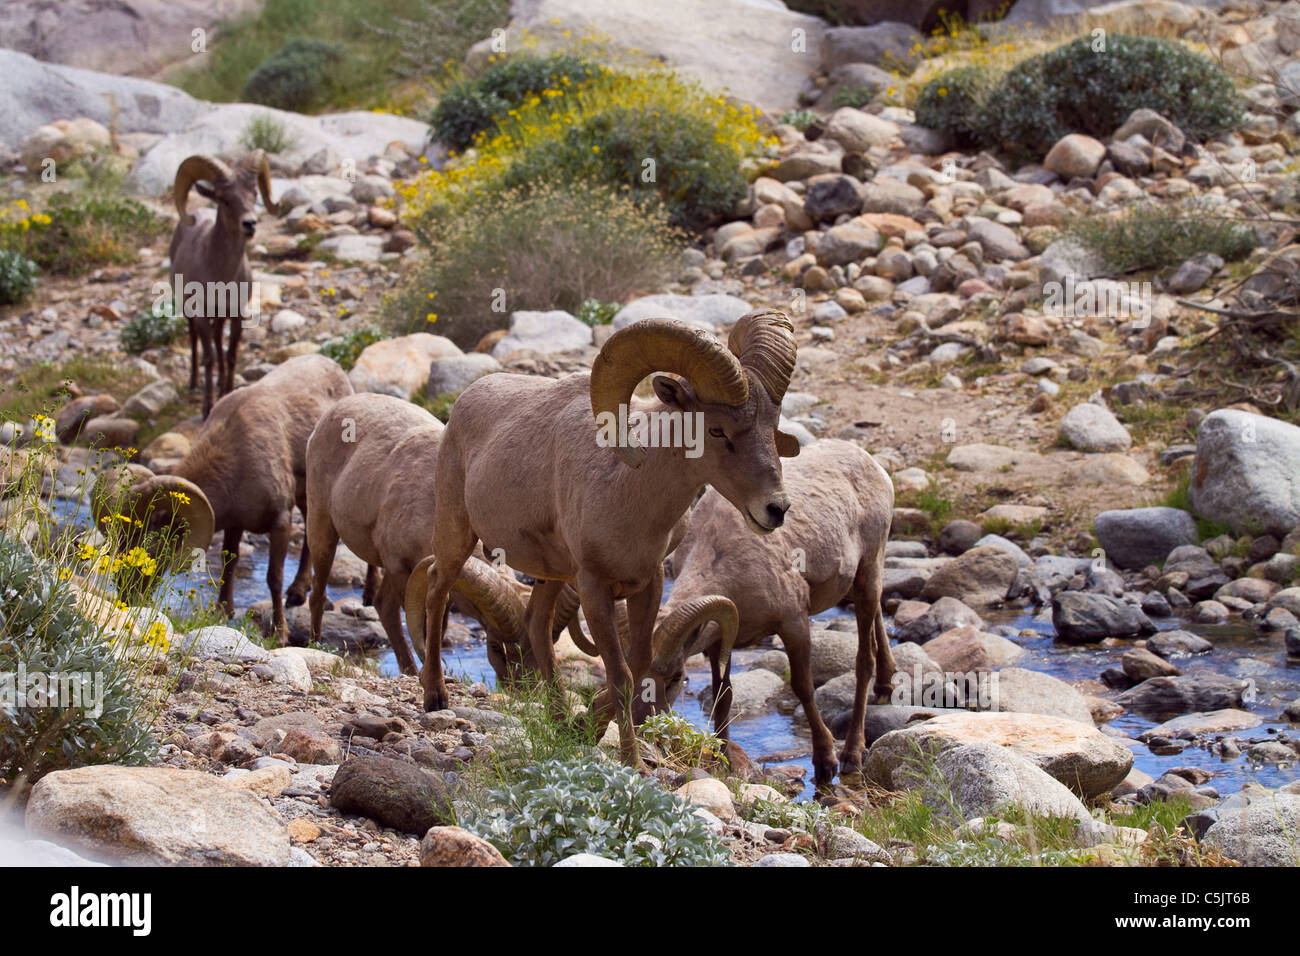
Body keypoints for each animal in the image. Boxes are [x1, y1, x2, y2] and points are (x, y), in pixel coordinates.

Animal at [92, 354, 353, 641]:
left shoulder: (280, 521)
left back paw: (301, 593)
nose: (127, 597)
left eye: (151, 549)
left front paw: (280, 633)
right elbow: (230, 563)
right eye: (119, 547)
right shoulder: (235, 524)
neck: (236, 459)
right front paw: (223, 611)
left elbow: (274, 578)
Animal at [169, 151, 276, 418]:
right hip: (189, 313)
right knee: (194, 340)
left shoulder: (237, 314)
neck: (221, 277)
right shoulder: (200, 314)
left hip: (219, 317)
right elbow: (208, 358)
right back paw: (194, 384)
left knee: (219, 339)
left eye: (254, 194)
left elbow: (230, 355)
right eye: (225, 200)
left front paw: (226, 394)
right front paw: (207, 407)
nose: (250, 224)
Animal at [417, 312, 800, 764]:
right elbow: (620, 674)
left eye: (771, 427)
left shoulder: (648, 583)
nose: (776, 508)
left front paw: (588, 726)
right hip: (456, 533)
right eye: (718, 431)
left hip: (551, 575)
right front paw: (630, 762)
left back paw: (560, 720)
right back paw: (435, 697)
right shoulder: (593, 588)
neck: (630, 494)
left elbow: (639, 662)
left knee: (536, 625)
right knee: (437, 592)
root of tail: (465, 400)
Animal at [639, 438, 896, 785]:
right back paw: (886, 686)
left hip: (869, 569)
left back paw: (852, 756)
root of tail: (874, 465)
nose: (642, 726)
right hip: (859, 583)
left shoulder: (794, 623)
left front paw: (825, 762)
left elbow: (803, 687)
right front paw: (722, 764)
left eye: (676, 677)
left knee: (863, 662)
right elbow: (722, 696)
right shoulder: (721, 640)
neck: (721, 553)